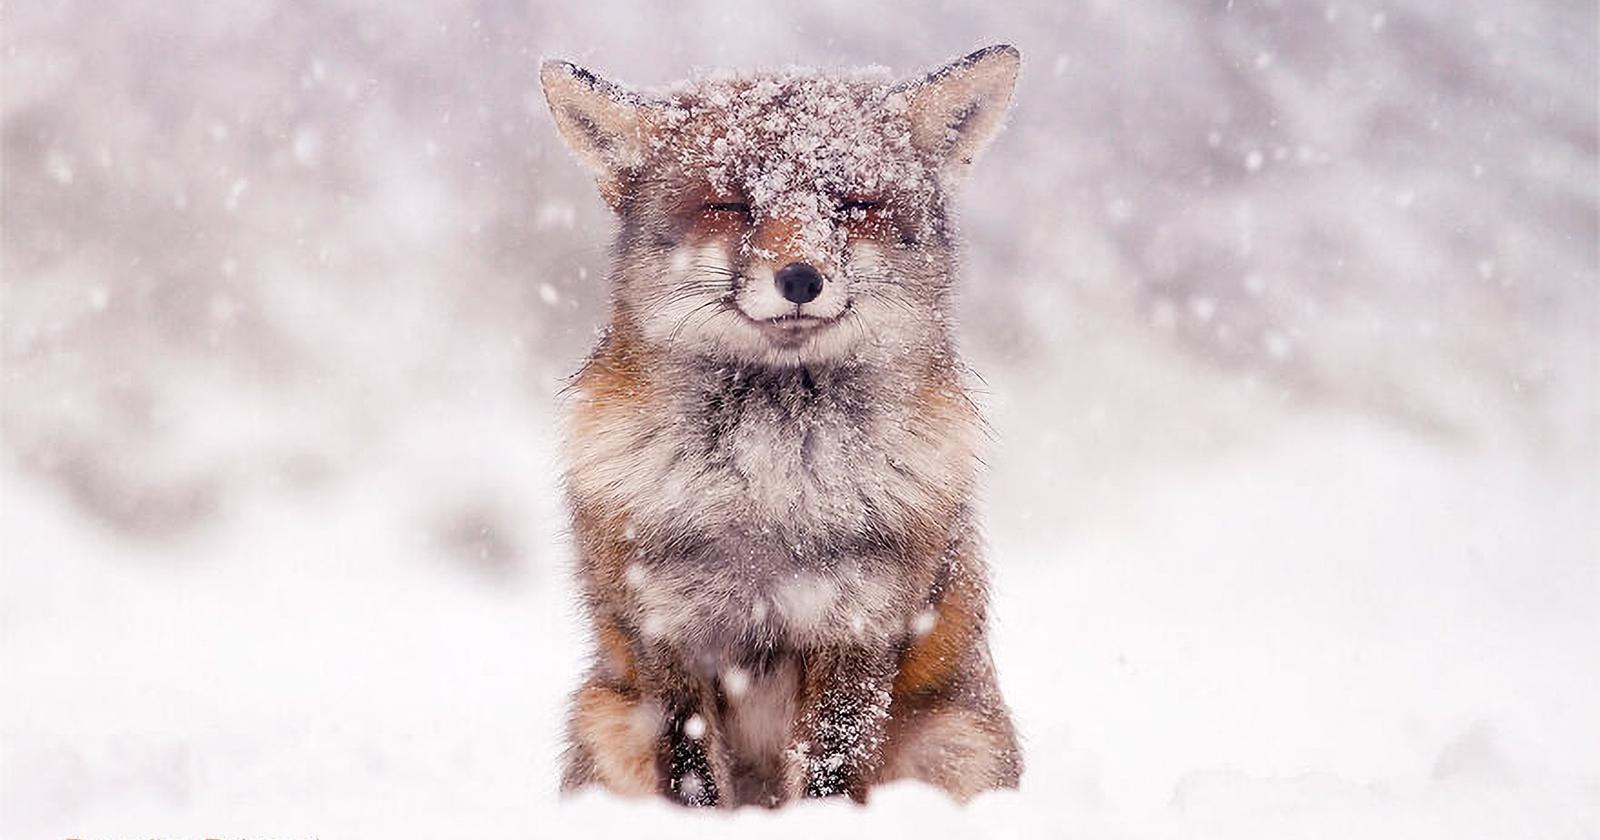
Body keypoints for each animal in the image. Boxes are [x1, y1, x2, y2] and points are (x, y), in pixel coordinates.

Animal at [540, 45, 1023, 808]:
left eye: (852, 206)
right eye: (732, 205)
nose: (800, 278)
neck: (769, 489)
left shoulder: (860, 624)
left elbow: (831, 768)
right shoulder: (667, 630)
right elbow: (692, 773)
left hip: (954, 743)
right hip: (604, 718)